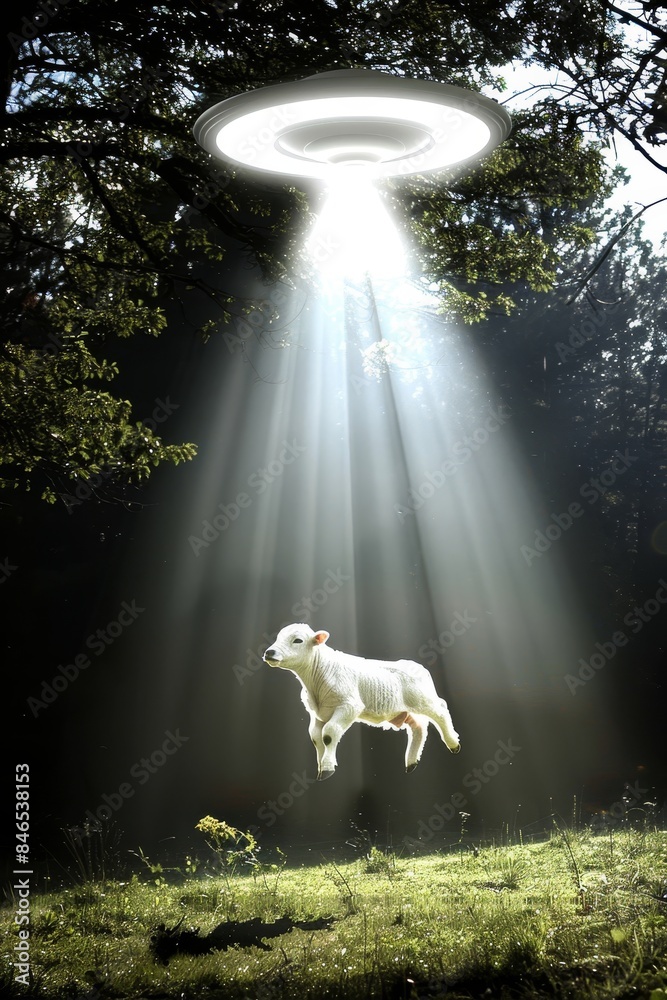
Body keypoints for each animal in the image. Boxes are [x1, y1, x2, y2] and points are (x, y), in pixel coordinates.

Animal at [263, 623, 460, 779]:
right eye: (278, 637)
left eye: (298, 640)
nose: (269, 652)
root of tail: (416, 665)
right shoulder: (317, 714)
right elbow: (316, 738)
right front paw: (321, 767)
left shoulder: (349, 706)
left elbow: (329, 733)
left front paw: (327, 768)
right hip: (406, 710)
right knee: (419, 728)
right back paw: (411, 763)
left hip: (424, 699)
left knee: (441, 711)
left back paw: (453, 743)